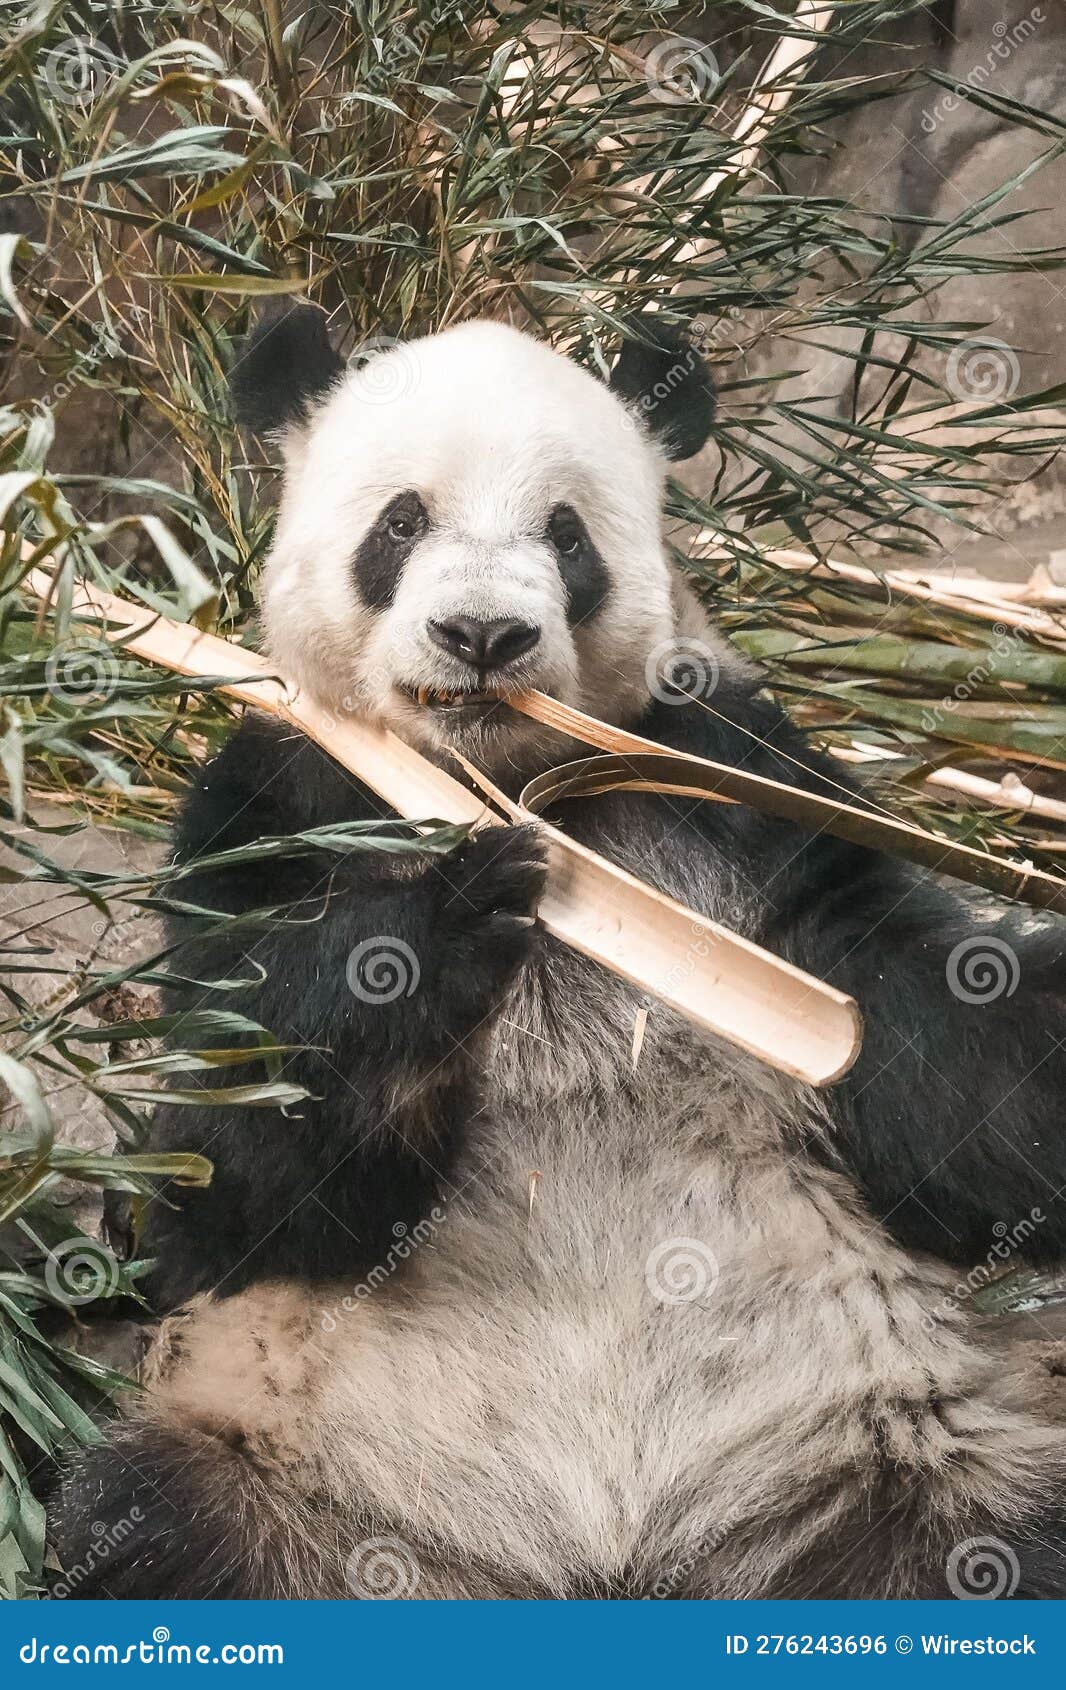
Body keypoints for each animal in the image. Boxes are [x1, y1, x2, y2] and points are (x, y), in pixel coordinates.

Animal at [51, 305, 1066, 1600]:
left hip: (902, 1439)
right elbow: (233, 1167)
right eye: (401, 522)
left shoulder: (730, 785)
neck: (516, 778)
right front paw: (437, 927)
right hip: (288, 1461)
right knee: (154, 1526)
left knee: (1005, 1535)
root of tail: (603, 1565)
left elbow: (923, 1057)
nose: (482, 634)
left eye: (566, 534)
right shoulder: (276, 796)